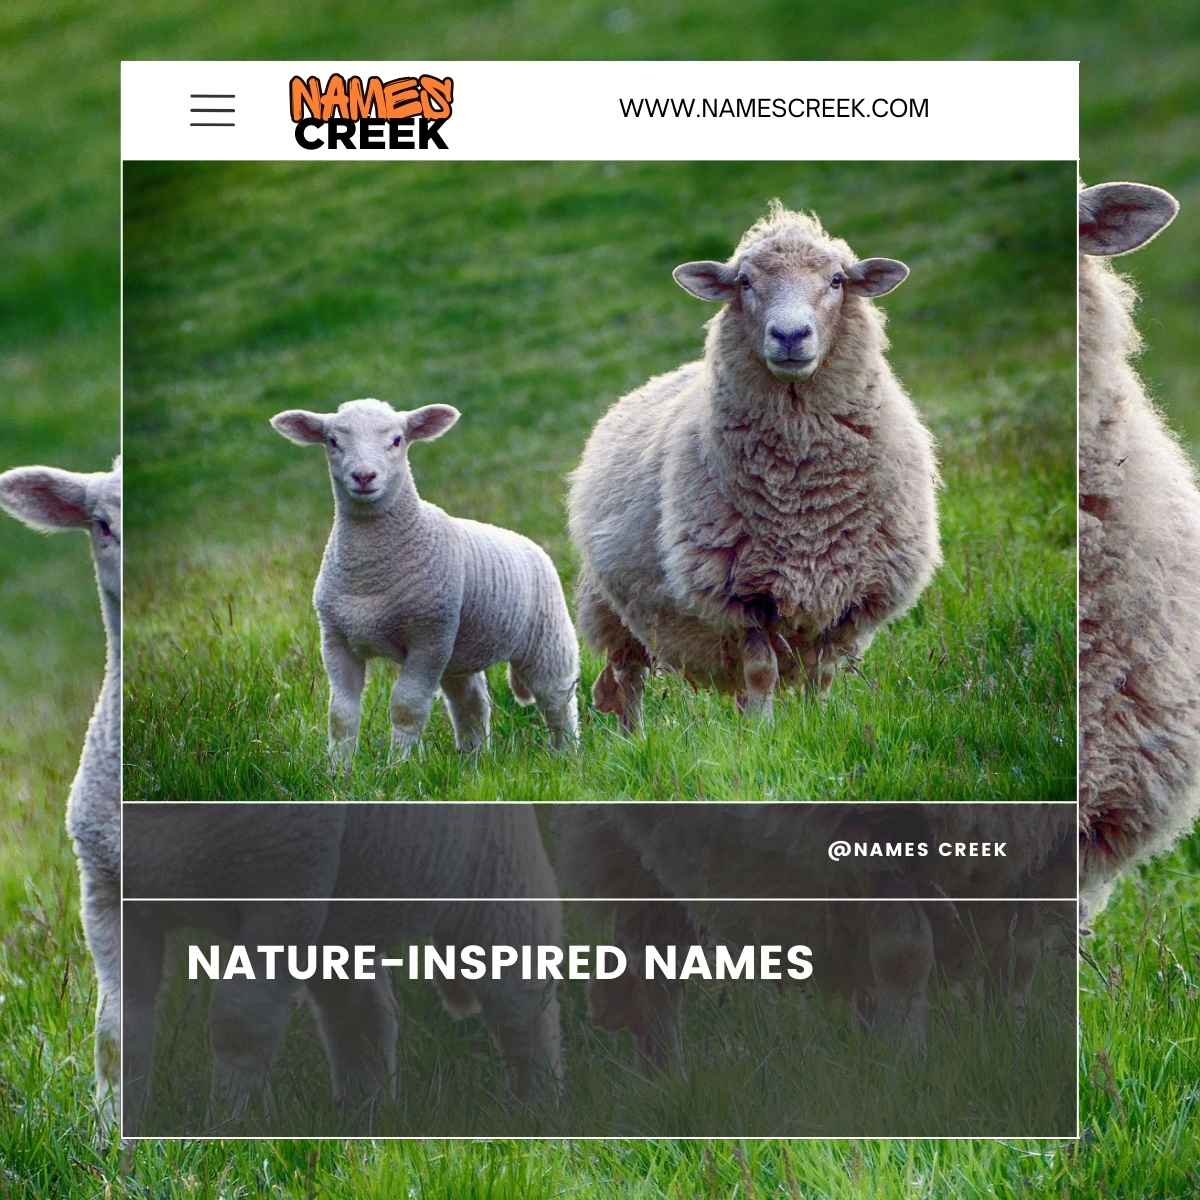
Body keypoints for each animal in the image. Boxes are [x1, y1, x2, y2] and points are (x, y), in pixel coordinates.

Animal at [121, 802, 563, 1133]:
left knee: (519, 999)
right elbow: (126, 1029)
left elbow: (239, 1024)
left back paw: (535, 1111)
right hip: (347, 905)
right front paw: (121, 1134)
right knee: (361, 1013)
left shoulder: (286, 890)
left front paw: (226, 1128)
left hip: (496, 873)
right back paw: (363, 1116)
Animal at [271, 399, 579, 765]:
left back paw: (567, 754)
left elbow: (407, 707)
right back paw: (473, 759)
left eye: (397, 440)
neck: (368, 573)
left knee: (557, 697)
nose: (363, 476)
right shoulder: (336, 639)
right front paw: (338, 770)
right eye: (332, 441)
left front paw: (397, 767)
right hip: (459, 652)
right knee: (471, 703)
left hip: (547, 637)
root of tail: (530, 544)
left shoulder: (429, 637)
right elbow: (341, 714)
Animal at [568, 200, 940, 727]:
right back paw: (634, 735)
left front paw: (816, 722)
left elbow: (822, 675)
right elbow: (762, 672)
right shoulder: (742, 596)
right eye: (745, 282)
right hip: (613, 609)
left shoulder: (849, 593)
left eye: (837, 280)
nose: (790, 335)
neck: (804, 494)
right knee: (627, 680)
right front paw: (763, 732)